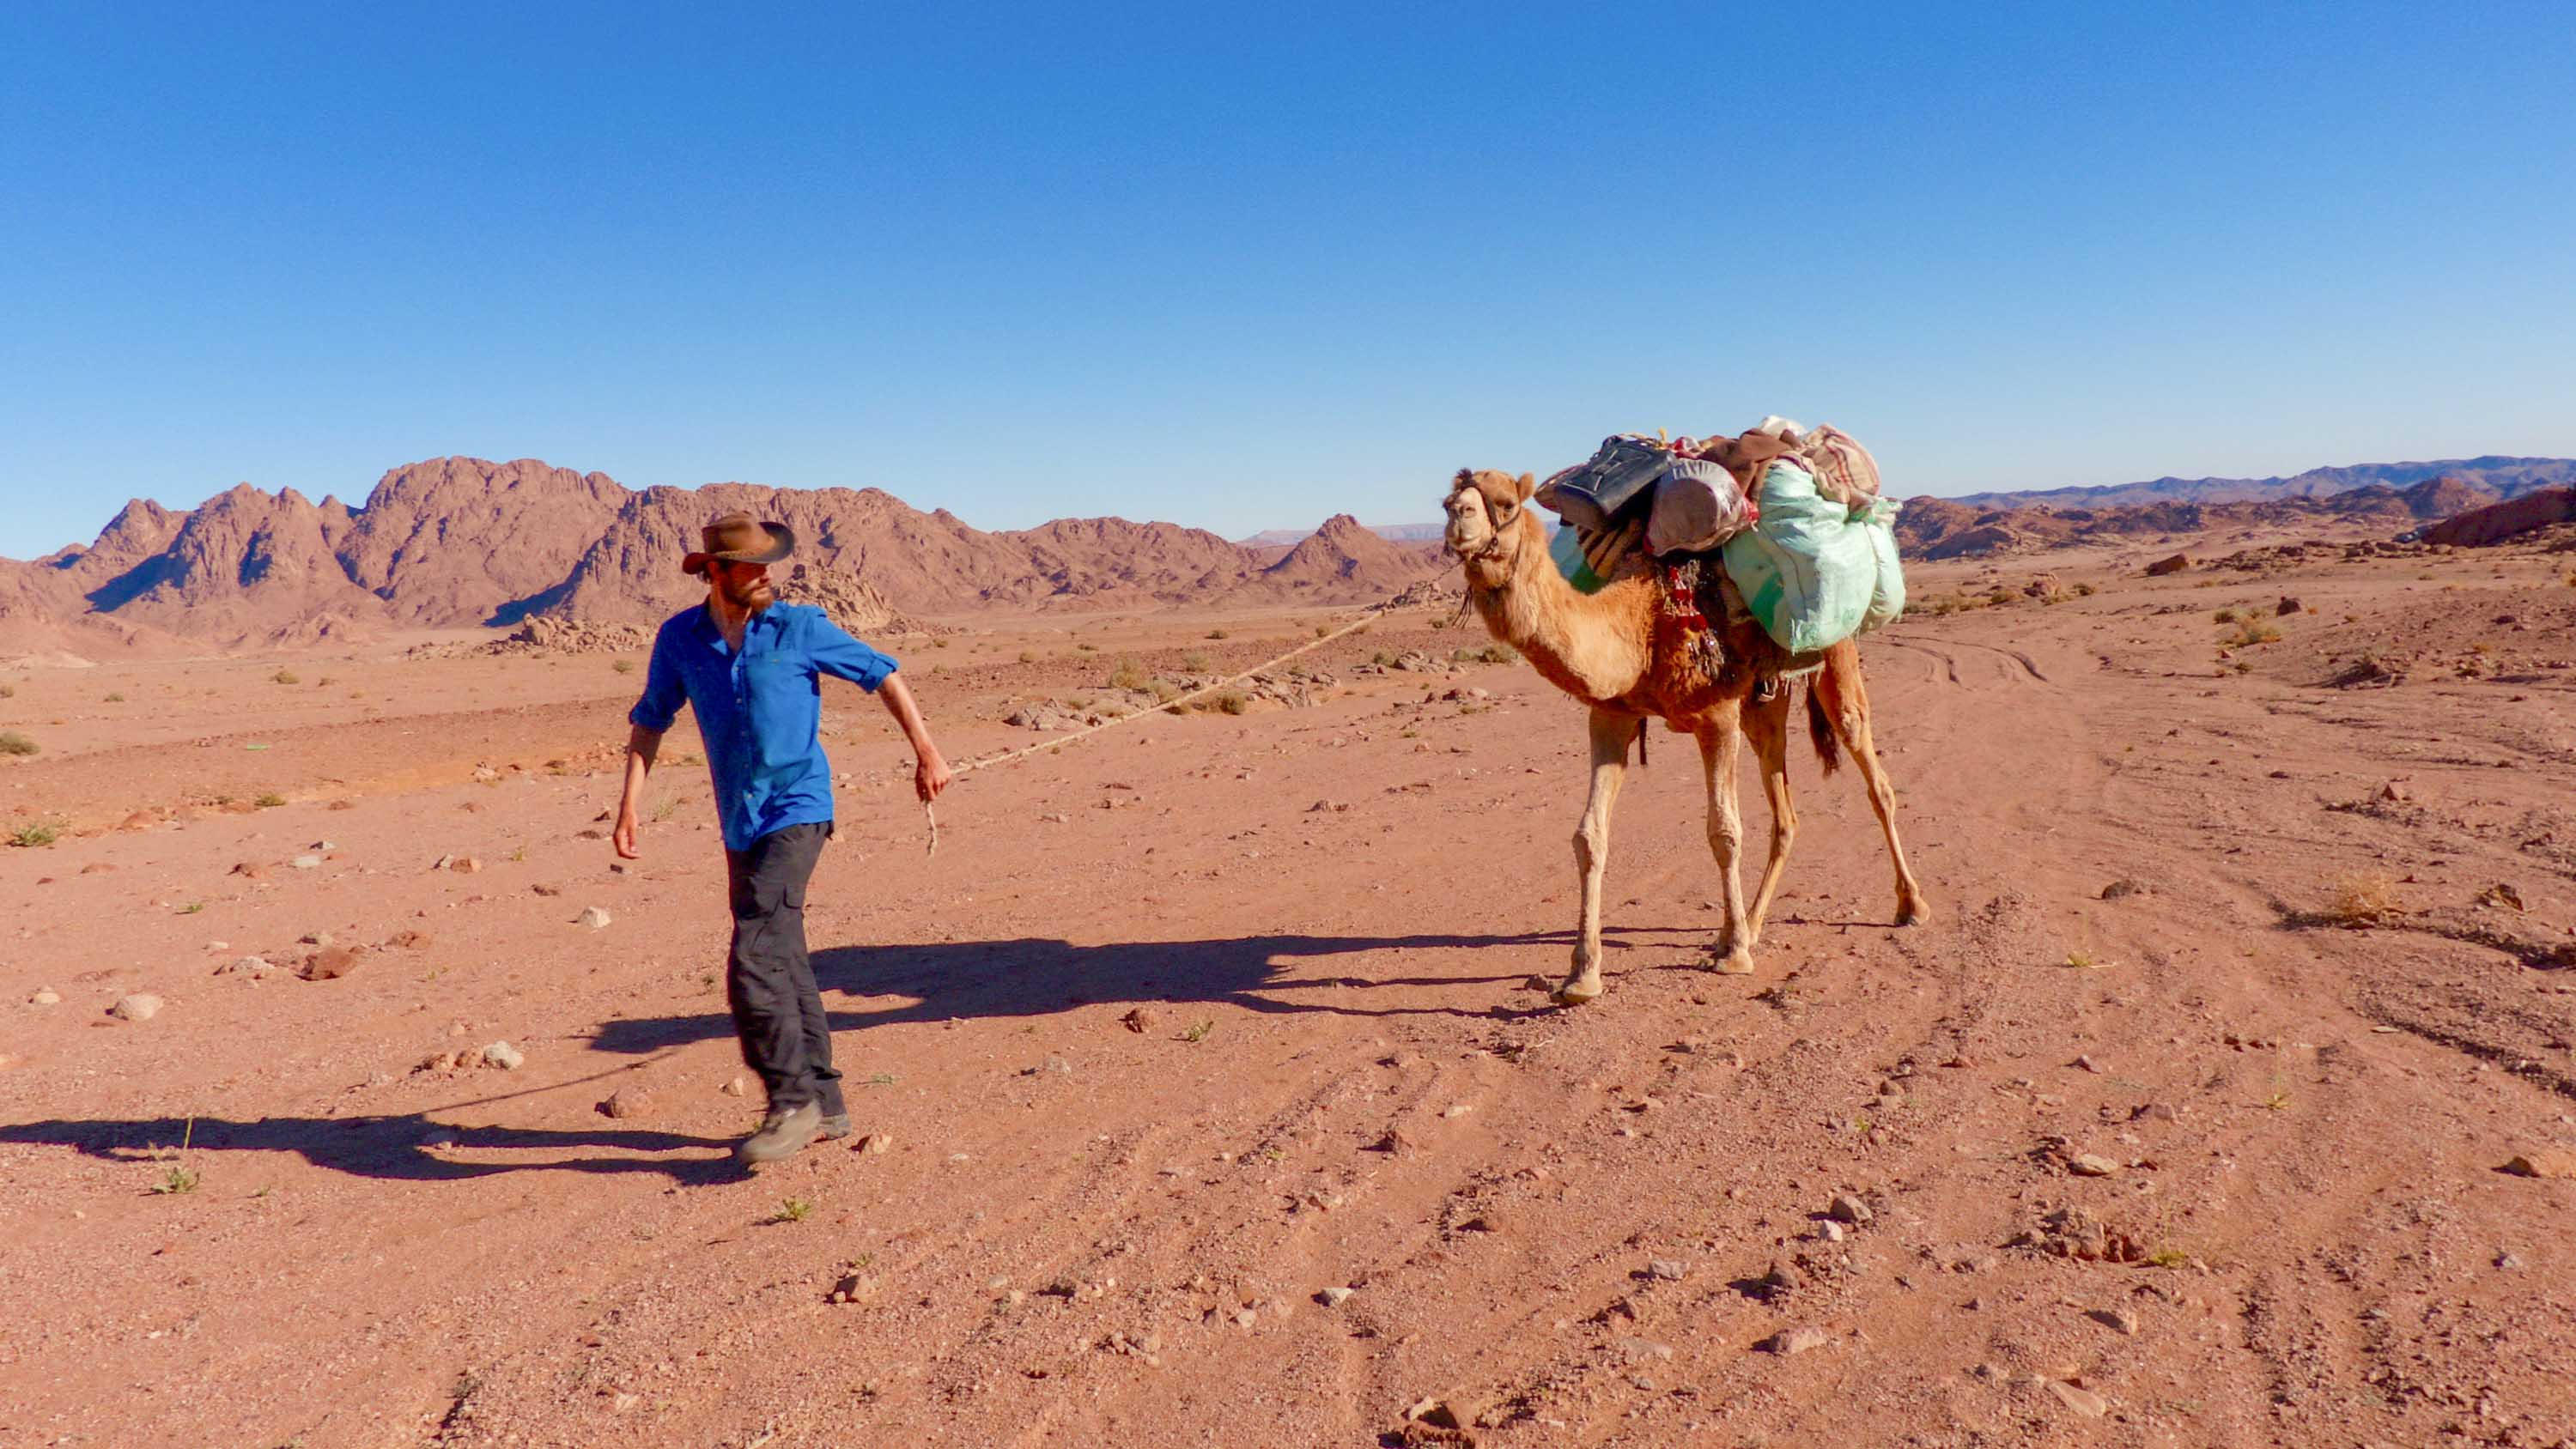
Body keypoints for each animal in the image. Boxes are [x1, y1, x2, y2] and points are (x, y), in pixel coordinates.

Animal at [1441, 468, 1929, 1005]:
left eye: (1506, 503)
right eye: (1447, 501)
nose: (1459, 517)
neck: (1641, 623)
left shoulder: (1715, 715)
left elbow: (1724, 831)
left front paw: (1734, 955)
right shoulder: (1610, 715)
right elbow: (1589, 836)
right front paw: (1581, 974)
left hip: (1836, 655)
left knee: (1873, 775)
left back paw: (1909, 905)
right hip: (1763, 701)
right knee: (1785, 812)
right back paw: (1752, 924)